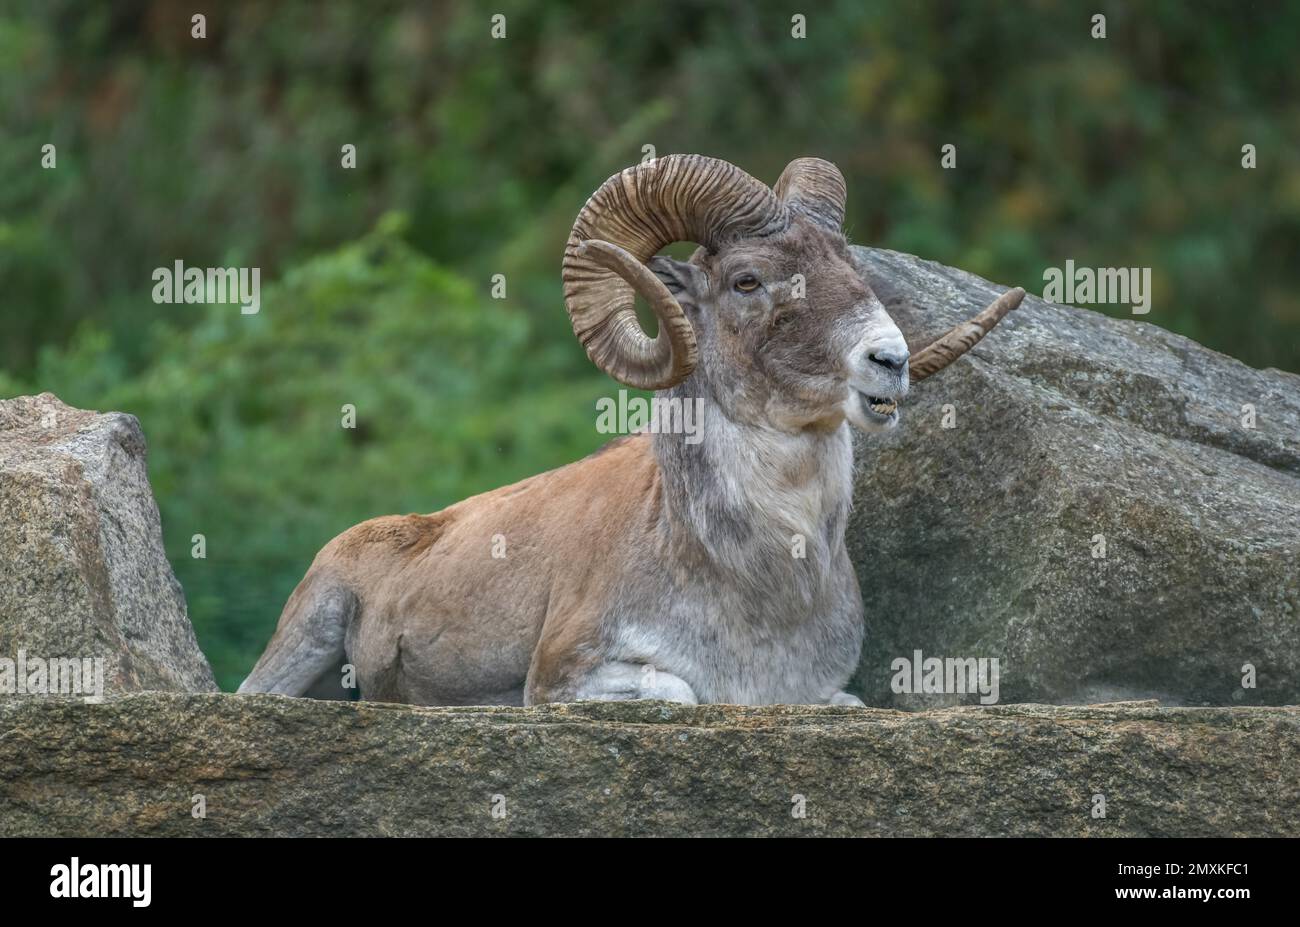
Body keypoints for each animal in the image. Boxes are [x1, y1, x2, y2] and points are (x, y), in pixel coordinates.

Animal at [239, 155, 1023, 706]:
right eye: (747, 280)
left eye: (850, 266)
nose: (888, 362)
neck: (762, 583)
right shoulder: (569, 676)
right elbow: (683, 689)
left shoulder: (828, 694)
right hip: (303, 637)